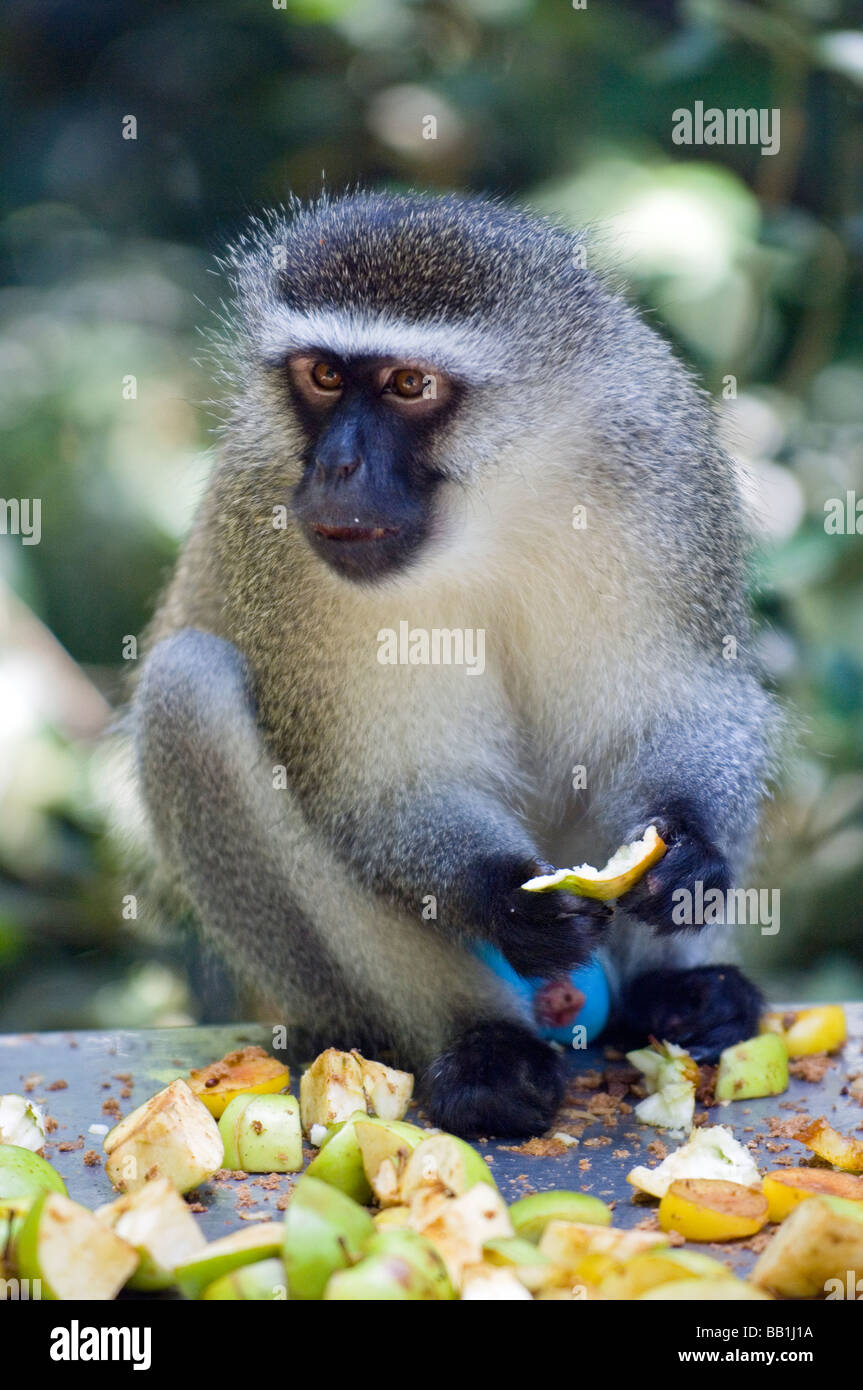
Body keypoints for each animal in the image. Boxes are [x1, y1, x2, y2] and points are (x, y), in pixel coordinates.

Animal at [130, 190, 777, 1139]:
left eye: (408, 384)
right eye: (322, 376)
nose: (337, 464)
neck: (493, 501)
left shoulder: (658, 462)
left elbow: (689, 707)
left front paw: (688, 852)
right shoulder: (279, 539)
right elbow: (381, 791)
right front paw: (508, 897)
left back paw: (677, 996)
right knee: (188, 693)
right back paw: (479, 1050)